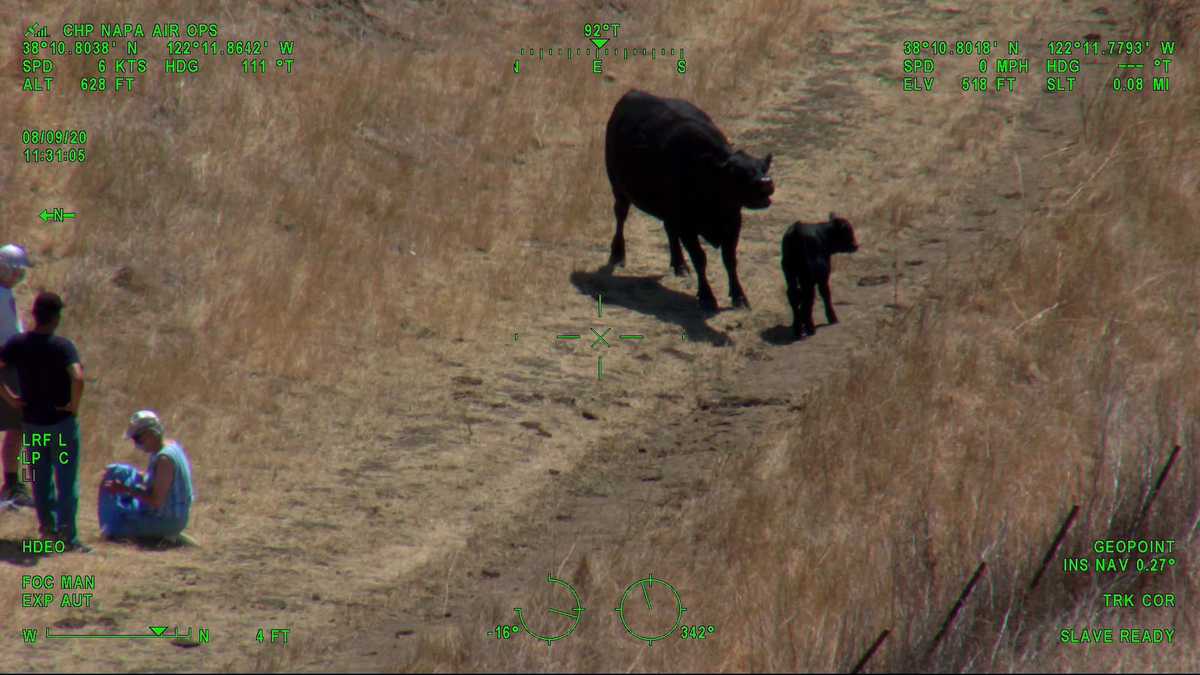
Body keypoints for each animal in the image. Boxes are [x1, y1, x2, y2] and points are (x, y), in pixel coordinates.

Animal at [604, 89, 775, 311]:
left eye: (763, 168)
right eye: (738, 172)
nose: (766, 182)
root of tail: (632, 93)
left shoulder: (732, 223)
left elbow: (730, 260)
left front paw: (739, 297)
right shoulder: (687, 226)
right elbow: (700, 258)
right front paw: (707, 297)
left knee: (669, 230)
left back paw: (679, 264)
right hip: (619, 190)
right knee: (620, 217)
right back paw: (618, 255)